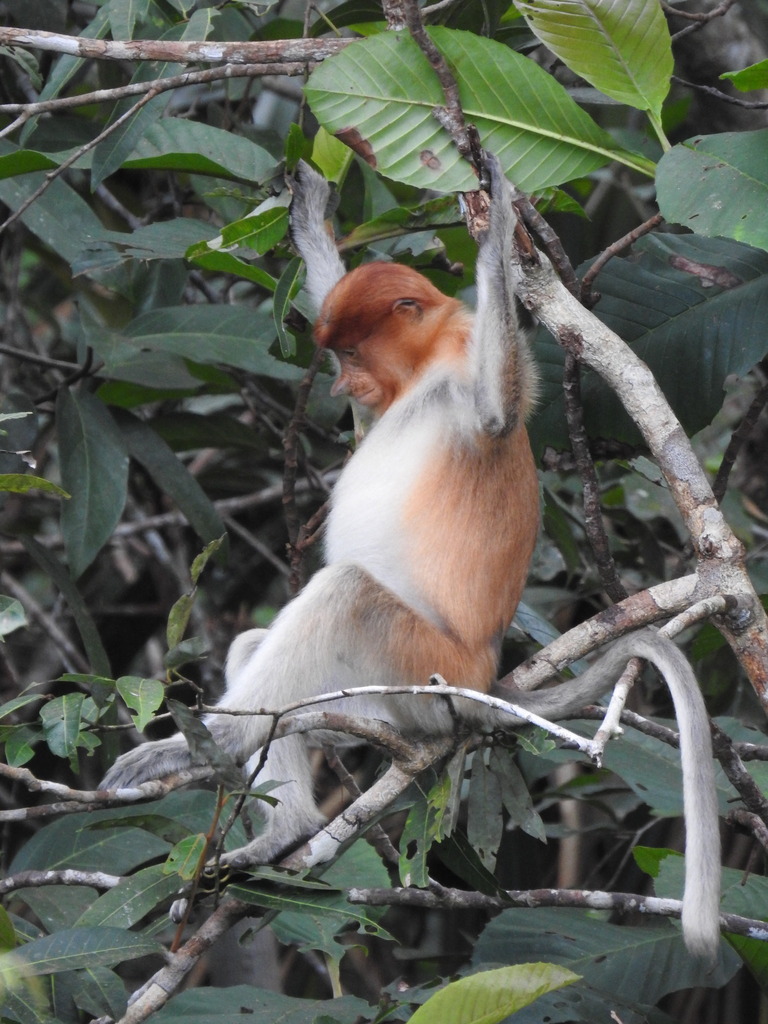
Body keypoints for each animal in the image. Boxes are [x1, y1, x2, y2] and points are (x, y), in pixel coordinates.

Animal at [101, 156, 720, 959]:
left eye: (351, 352)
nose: (339, 381)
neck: (424, 371)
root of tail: (486, 680)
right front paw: (311, 215)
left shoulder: (468, 359)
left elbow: (497, 409)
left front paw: (498, 223)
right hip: (377, 698)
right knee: (262, 654)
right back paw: (281, 832)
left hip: (424, 675)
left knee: (346, 591)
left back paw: (217, 744)